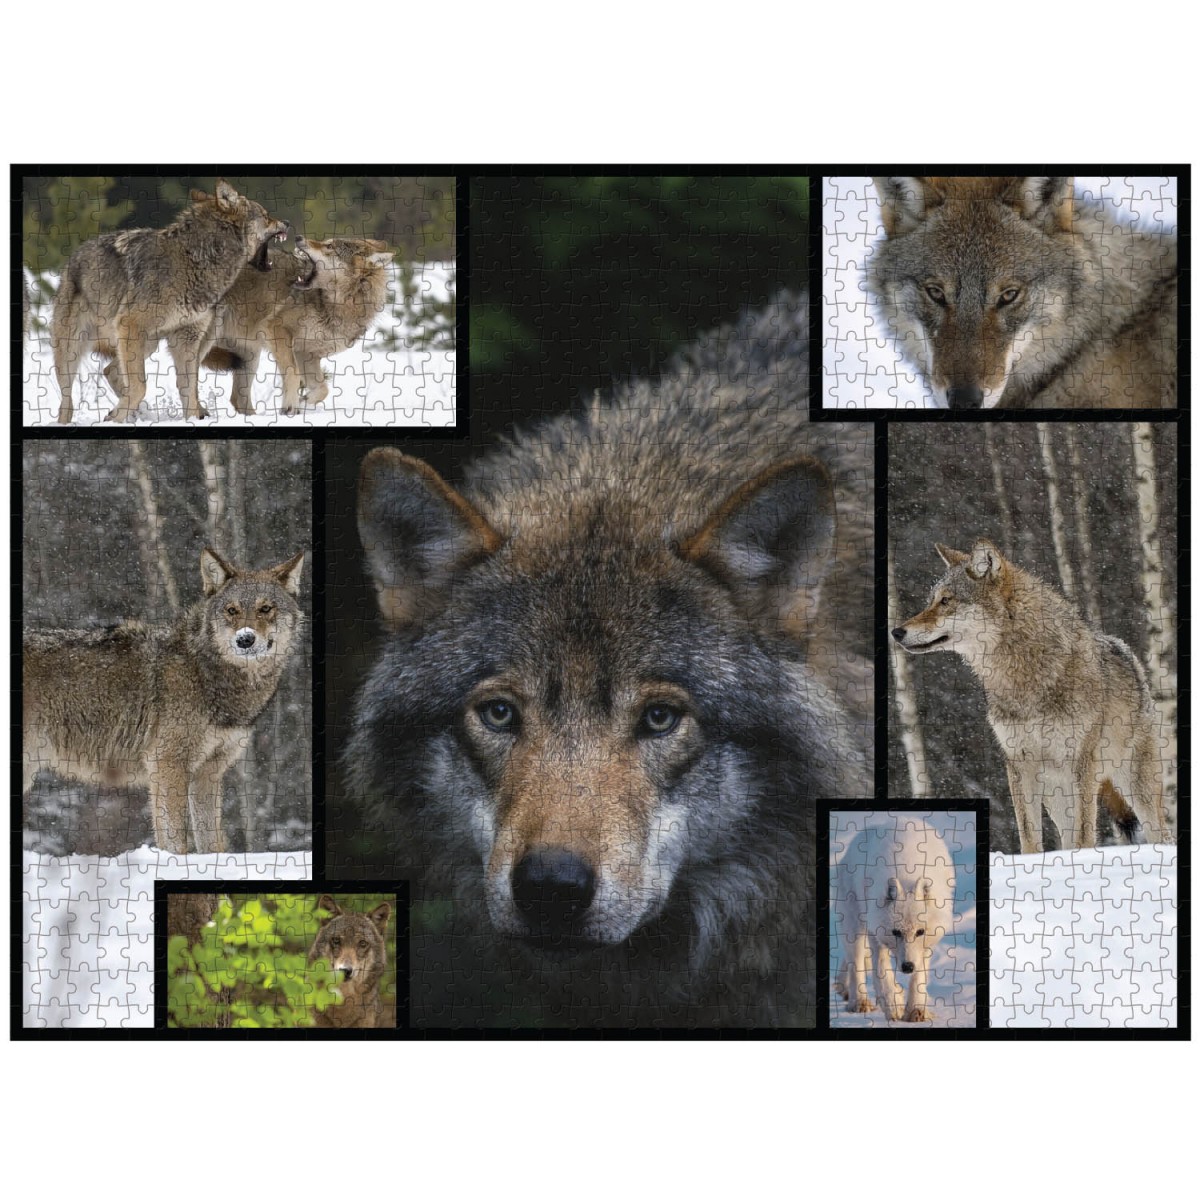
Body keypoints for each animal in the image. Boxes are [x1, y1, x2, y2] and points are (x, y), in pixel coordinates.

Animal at [23, 548, 305, 853]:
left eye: (266, 608)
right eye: (232, 610)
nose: (245, 639)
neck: (204, 672)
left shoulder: (207, 773)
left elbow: (212, 843)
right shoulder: (167, 765)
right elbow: (175, 841)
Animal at [51, 180, 290, 424]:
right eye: (266, 215)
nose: (288, 222)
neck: (196, 259)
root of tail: (75, 254)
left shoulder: (186, 338)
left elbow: (189, 392)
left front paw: (192, 419)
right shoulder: (131, 324)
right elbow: (140, 387)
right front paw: (116, 417)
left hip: (146, 344)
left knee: (110, 371)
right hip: (75, 349)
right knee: (67, 400)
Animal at [203, 236, 394, 416]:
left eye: (329, 246)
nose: (299, 237)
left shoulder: (307, 354)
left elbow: (323, 389)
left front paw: (303, 401)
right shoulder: (277, 331)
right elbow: (293, 373)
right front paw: (290, 407)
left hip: (249, 356)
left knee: (238, 399)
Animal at [833, 820, 955, 1022]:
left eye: (920, 932)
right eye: (896, 932)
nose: (907, 967)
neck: (908, 872)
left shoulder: (925, 945)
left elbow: (919, 978)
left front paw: (916, 1010)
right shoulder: (876, 933)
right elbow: (882, 972)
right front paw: (893, 1005)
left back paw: (843, 987)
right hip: (854, 926)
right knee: (855, 963)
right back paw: (859, 1002)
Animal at [893, 540, 1172, 852]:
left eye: (946, 601)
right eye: (932, 601)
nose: (896, 632)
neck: (1021, 678)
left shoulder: (1082, 762)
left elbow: (1085, 835)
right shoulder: (1018, 764)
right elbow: (1028, 835)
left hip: (1135, 787)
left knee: (1161, 833)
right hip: (1057, 794)